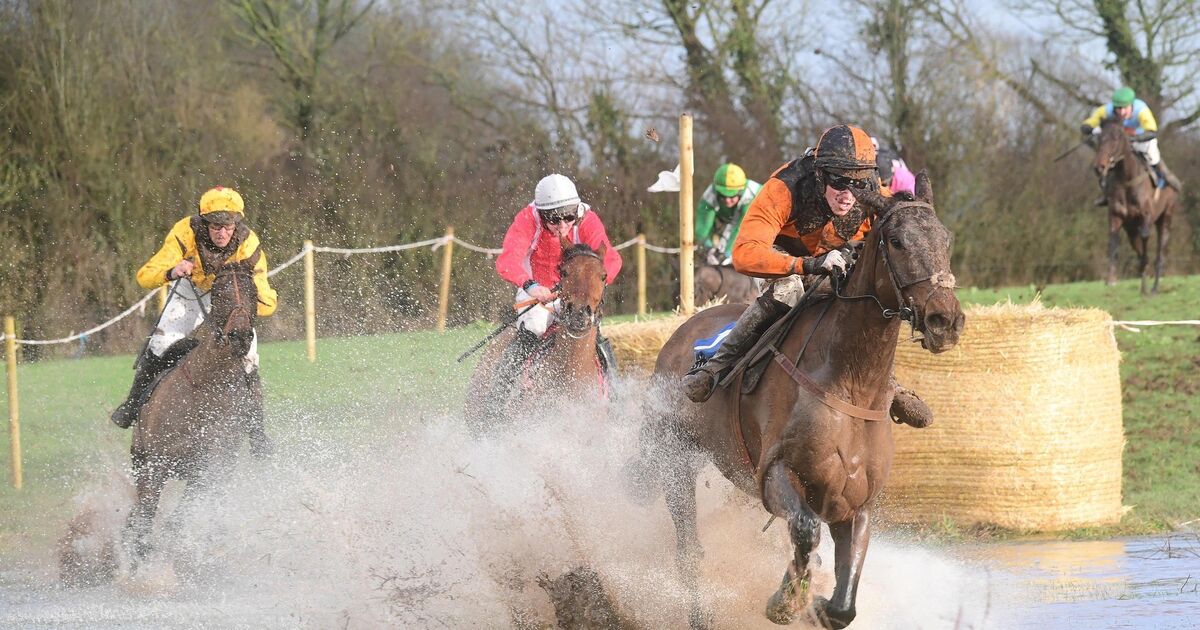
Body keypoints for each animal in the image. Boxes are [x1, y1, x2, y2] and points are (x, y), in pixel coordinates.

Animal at [123, 254, 263, 565]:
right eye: (220, 292)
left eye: (253, 292)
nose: (240, 336)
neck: (206, 386)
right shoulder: (157, 464)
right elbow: (145, 518)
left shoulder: (210, 468)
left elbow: (179, 519)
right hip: (141, 460)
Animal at [629, 174, 964, 629]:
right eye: (896, 241)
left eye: (945, 239)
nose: (945, 320)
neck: (851, 383)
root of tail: (681, 332)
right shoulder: (776, 474)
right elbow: (806, 530)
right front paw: (786, 601)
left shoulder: (856, 503)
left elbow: (842, 601)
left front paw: (813, 599)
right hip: (675, 459)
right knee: (688, 552)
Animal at [1094, 116, 1178, 294]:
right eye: (1100, 138)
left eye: (1116, 138)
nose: (1100, 167)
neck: (1126, 180)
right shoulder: (1116, 216)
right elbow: (1113, 240)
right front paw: (1111, 279)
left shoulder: (1146, 216)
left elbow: (1145, 238)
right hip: (1131, 229)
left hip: (1166, 218)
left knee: (1160, 251)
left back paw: (1154, 287)